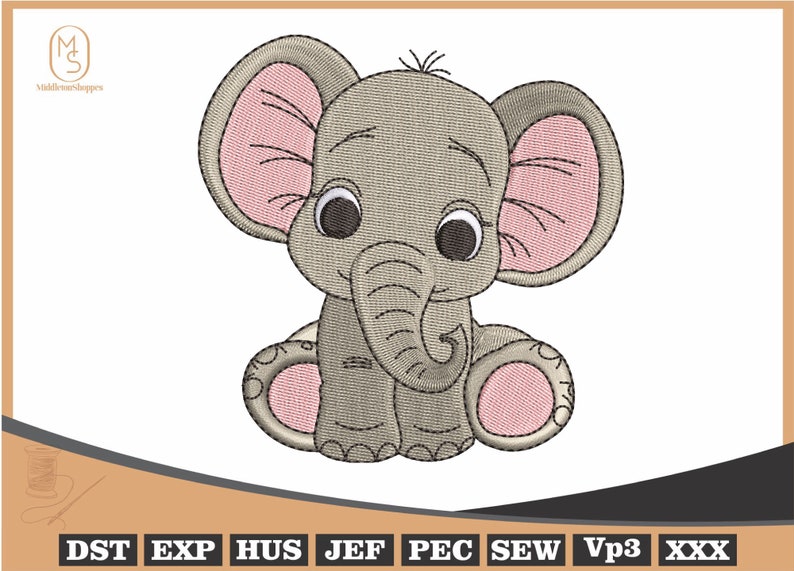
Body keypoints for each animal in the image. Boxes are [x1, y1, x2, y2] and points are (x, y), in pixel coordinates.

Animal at [198, 36, 623, 462]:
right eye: (335, 214)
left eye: (461, 238)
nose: (450, 342)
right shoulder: (341, 318)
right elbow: (352, 364)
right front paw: (355, 451)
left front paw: (439, 450)